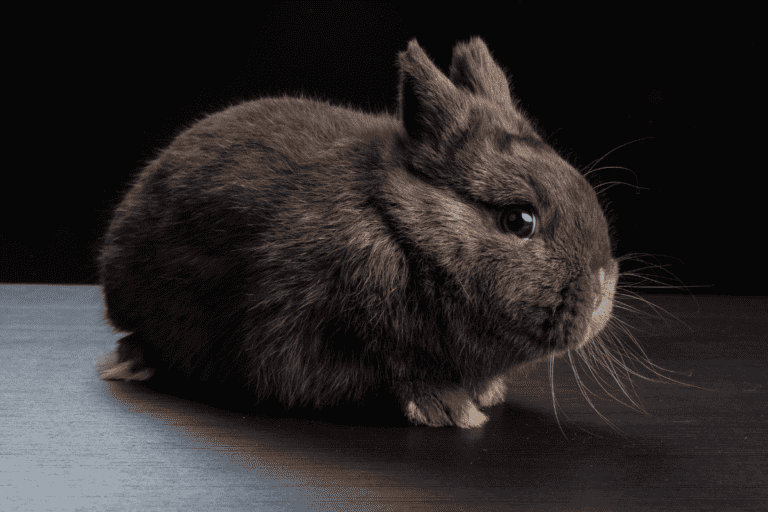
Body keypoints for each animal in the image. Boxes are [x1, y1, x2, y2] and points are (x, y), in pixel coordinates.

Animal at [97, 36, 618, 428]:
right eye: (518, 220)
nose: (600, 292)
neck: (405, 233)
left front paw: (487, 393)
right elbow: (404, 373)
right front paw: (453, 411)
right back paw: (130, 362)